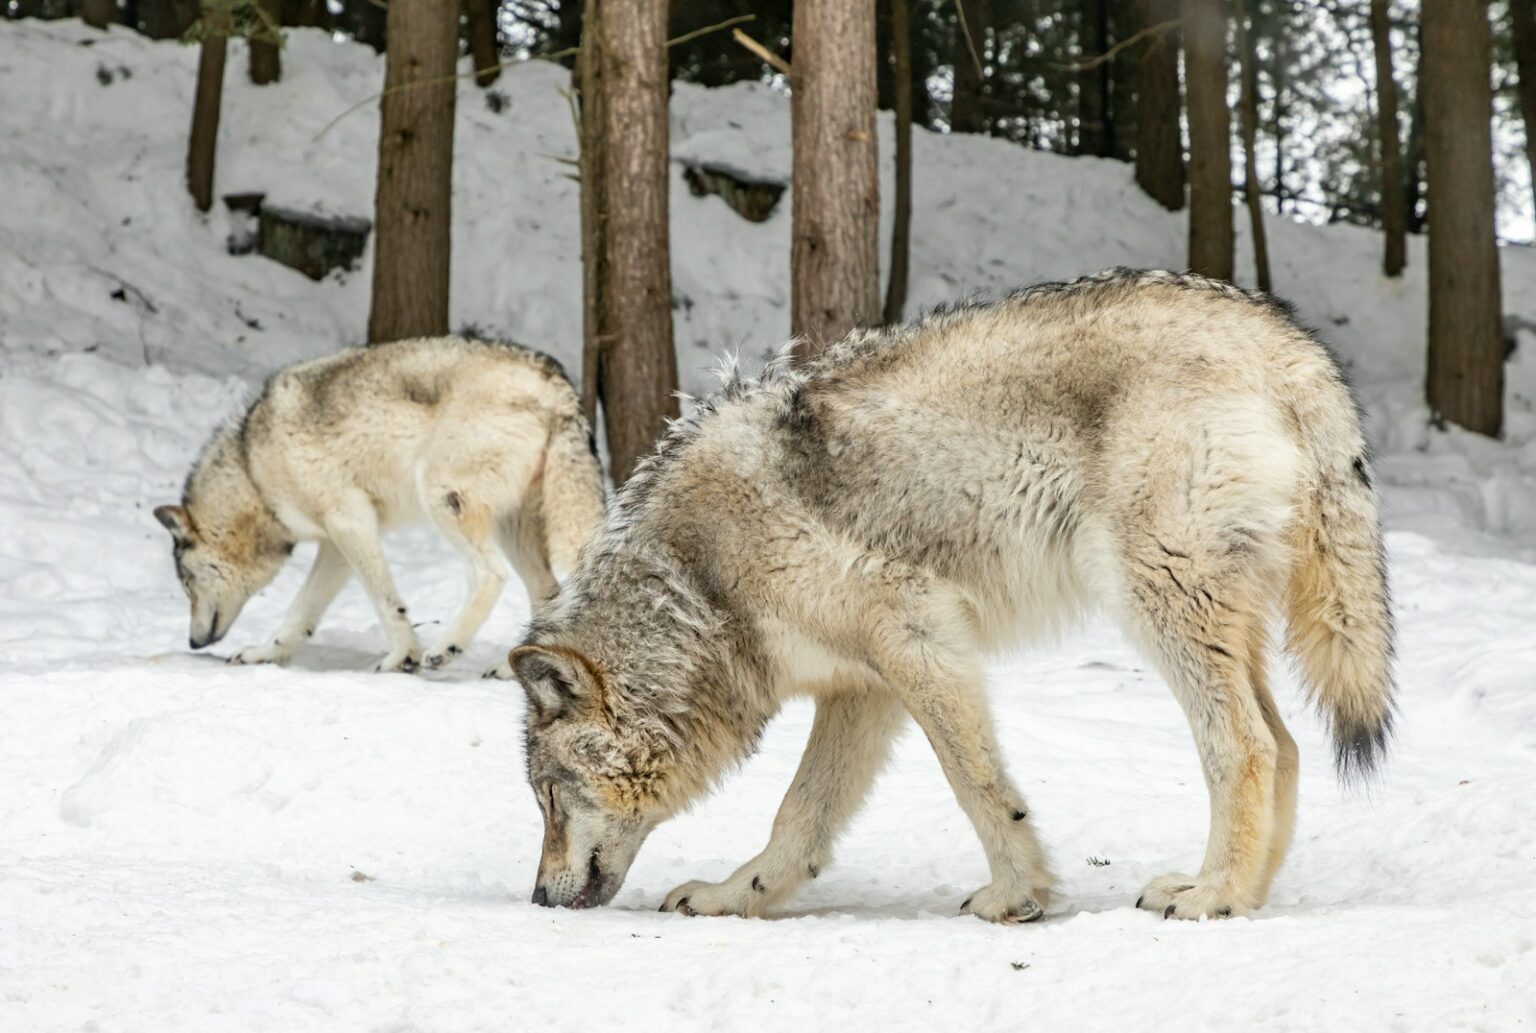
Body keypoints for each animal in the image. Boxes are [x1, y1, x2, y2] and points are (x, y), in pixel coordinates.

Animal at [154, 336, 605, 674]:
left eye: (186, 584)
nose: (192, 641)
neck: (253, 469)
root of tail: (555, 381)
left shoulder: (350, 521)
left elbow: (385, 598)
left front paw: (403, 656)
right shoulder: (334, 545)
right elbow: (300, 612)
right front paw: (265, 653)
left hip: (443, 500)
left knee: (490, 575)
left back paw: (446, 647)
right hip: (512, 529)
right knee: (546, 592)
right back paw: (511, 668)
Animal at [509, 269, 1394, 923]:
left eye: (548, 798)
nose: (540, 896)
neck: (702, 579)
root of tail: (1287, 342)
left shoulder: (918, 636)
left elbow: (977, 783)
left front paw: (1017, 896)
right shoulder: (862, 686)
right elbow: (799, 816)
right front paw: (736, 895)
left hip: (1158, 605)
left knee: (1246, 746)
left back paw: (1212, 894)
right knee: (1286, 745)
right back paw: (1245, 896)